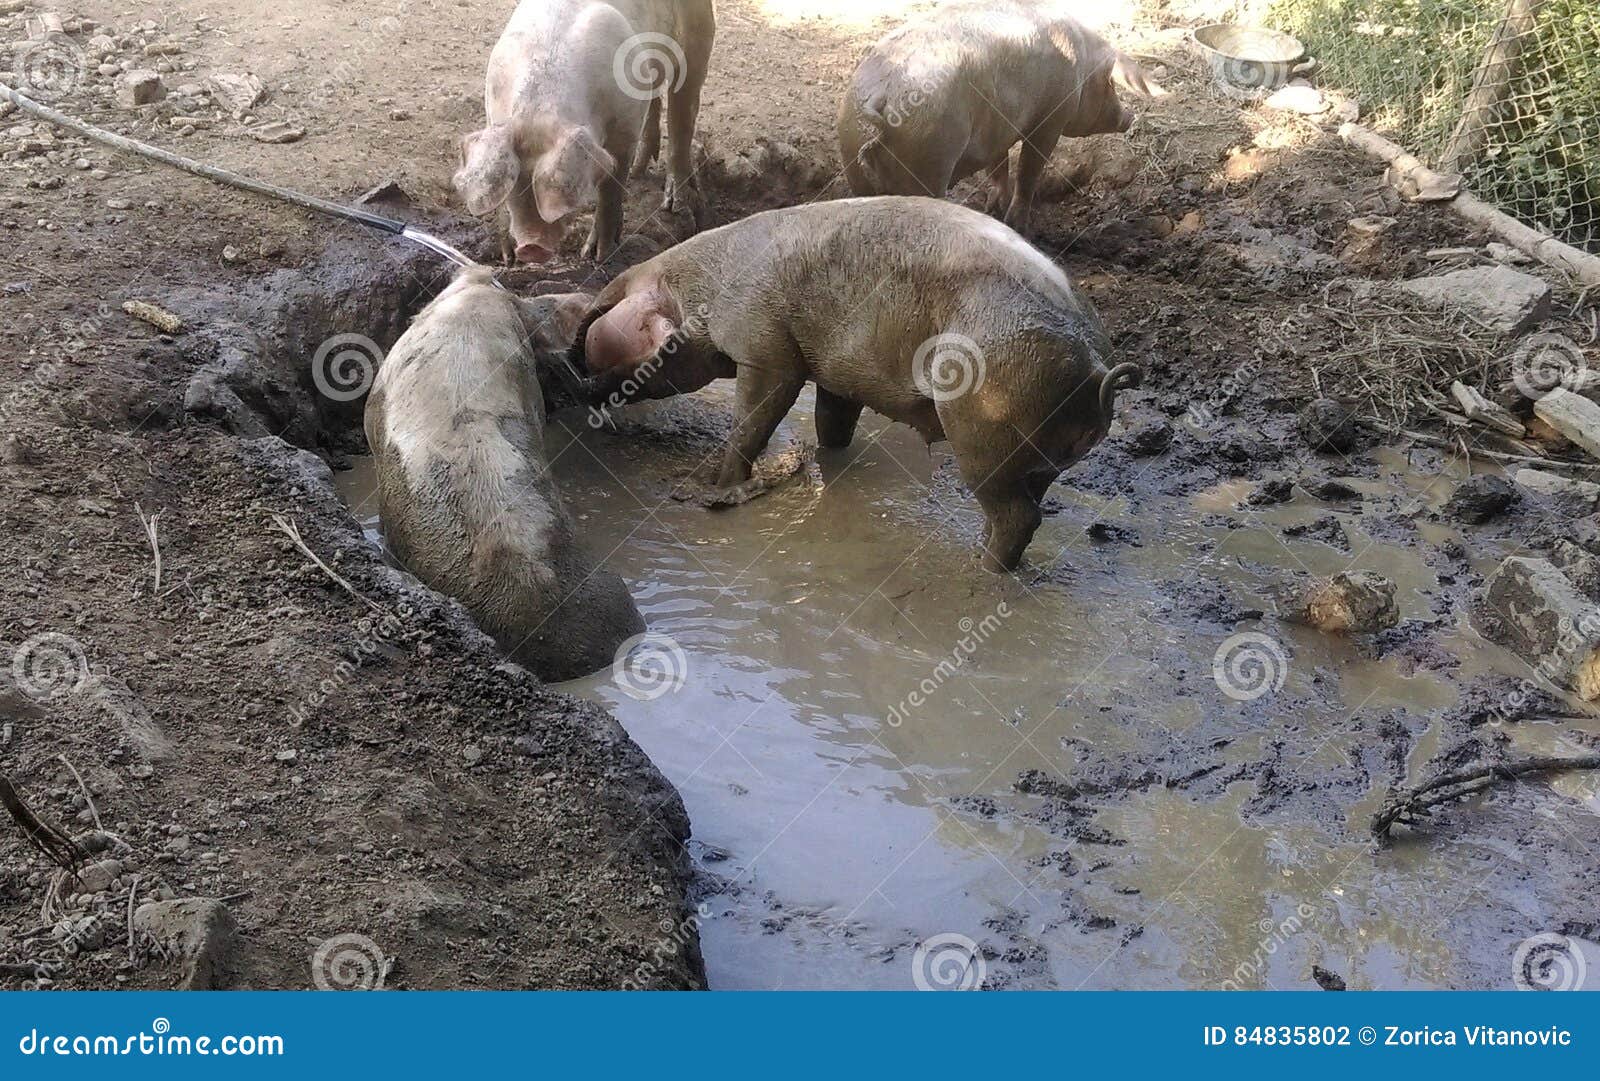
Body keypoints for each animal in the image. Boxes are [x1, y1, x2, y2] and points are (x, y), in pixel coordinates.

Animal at [454, 0, 716, 264]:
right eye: (513, 191)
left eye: (564, 194)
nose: (530, 247)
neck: (540, 110)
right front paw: (507, 258)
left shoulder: (626, 123)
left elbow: (611, 186)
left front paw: (597, 255)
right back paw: (639, 171)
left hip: (698, 35)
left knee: (683, 115)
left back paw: (675, 204)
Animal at [579, 196, 1141, 572]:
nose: (582, 385)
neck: (703, 290)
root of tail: (1096, 364)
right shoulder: (835, 371)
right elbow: (832, 421)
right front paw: (829, 460)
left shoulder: (766, 350)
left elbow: (755, 418)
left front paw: (712, 489)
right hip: (1041, 448)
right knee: (1033, 498)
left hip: (986, 419)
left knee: (1018, 516)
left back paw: (979, 570)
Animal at [837, 0, 1162, 234]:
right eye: (1110, 83)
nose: (1130, 116)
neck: (1081, 64)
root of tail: (880, 95)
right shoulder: (1049, 120)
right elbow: (1028, 170)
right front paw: (1017, 225)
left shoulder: (997, 128)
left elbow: (998, 166)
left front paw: (994, 208)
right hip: (926, 156)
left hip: (852, 153)